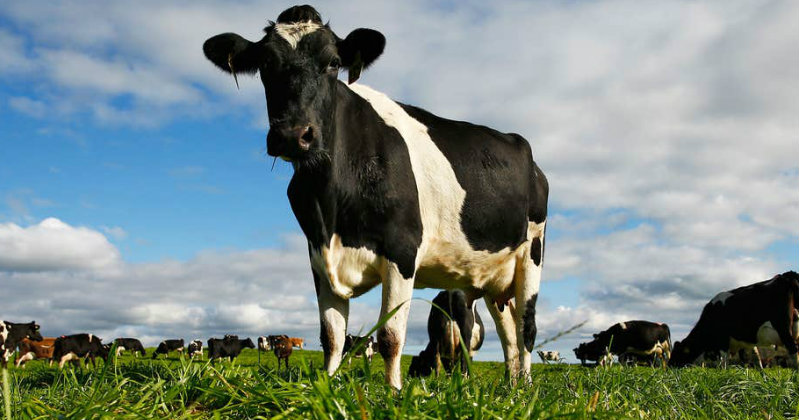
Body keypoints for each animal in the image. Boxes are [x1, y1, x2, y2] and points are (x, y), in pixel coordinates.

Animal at [203, 4, 549, 389]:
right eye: (265, 63)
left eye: (333, 62)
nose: (293, 135)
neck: (328, 202)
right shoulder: (318, 256)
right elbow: (332, 336)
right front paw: (328, 387)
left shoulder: (403, 249)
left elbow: (390, 336)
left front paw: (394, 391)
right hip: (492, 277)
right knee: (508, 333)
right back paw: (512, 387)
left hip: (532, 251)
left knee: (527, 328)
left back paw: (527, 387)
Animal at [670, 271, 799, 369]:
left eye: (677, 353)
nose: (669, 366)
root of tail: (786, 276)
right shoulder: (746, 343)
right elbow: (751, 360)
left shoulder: (723, 340)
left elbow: (723, 361)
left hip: (783, 329)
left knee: (793, 350)